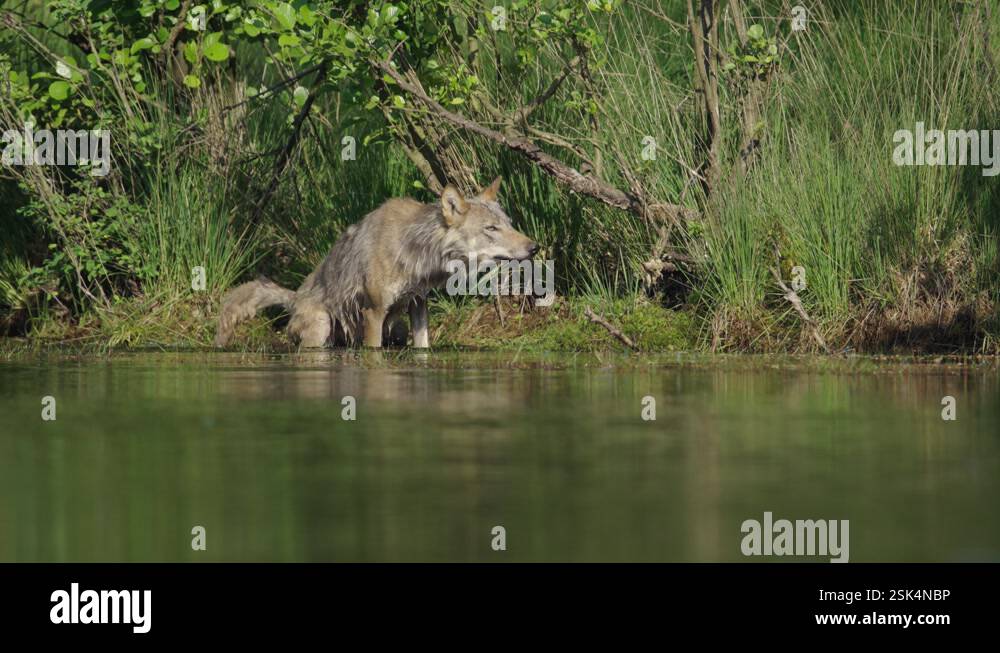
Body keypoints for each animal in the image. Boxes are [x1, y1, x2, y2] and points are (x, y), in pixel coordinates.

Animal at [214, 177, 538, 348]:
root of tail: (294, 299)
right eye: (491, 229)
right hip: (321, 324)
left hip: (395, 327)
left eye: (509, 224)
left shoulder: (418, 305)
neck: (415, 251)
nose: (534, 247)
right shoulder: (373, 311)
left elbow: (423, 348)